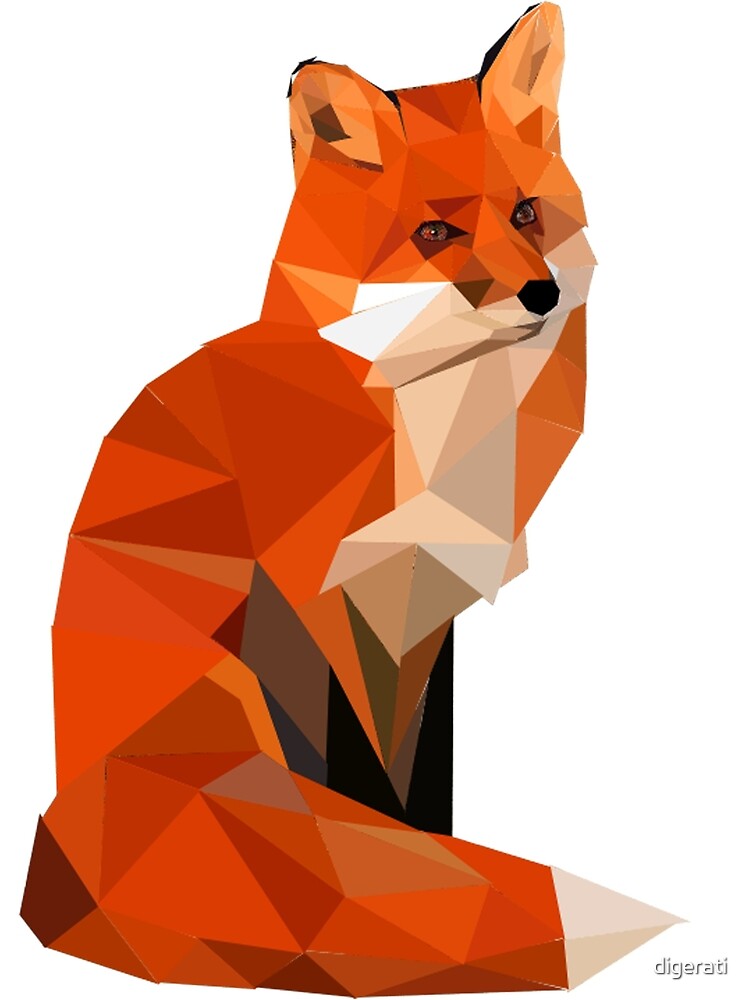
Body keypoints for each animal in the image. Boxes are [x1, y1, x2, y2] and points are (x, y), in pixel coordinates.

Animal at [21, 3, 680, 995]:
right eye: (436, 236)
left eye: (527, 213)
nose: (542, 291)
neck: (433, 429)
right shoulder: (322, 607)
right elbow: (362, 779)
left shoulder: (428, 612)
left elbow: (421, 779)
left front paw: (430, 860)